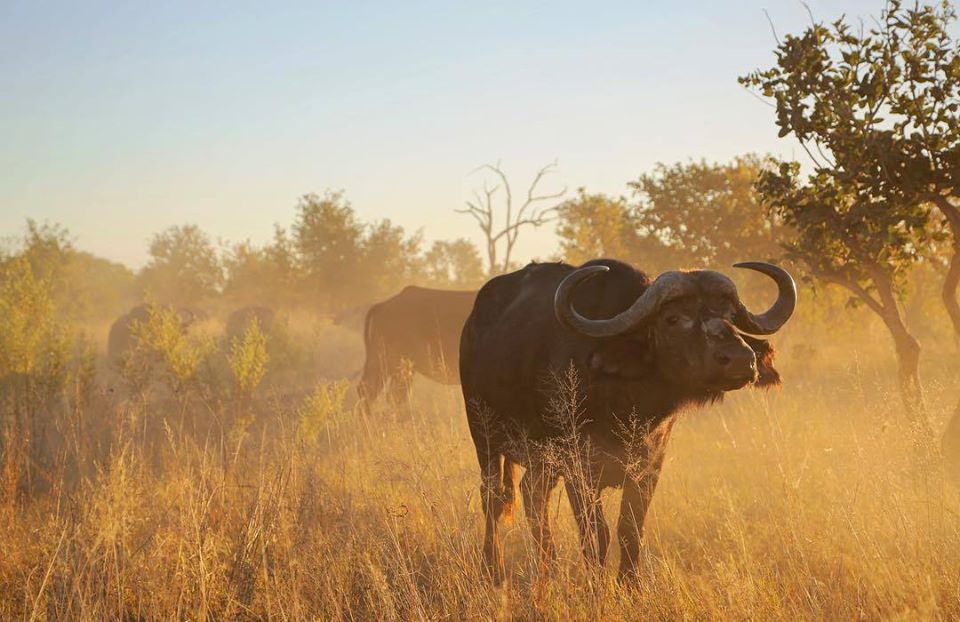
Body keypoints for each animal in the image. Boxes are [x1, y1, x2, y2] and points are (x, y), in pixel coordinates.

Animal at [459, 259, 795, 582]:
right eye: (673, 318)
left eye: (729, 314)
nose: (741, 360)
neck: (627, 399)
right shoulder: (579, 471)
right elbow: (597, 536)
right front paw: (596, 586)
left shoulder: (649, 468)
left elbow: (630, 531)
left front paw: (630, 585)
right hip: (484, 435)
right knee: (492, 498)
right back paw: (492, 568)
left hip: (542, 460)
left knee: (532, 494)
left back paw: (547, 567)